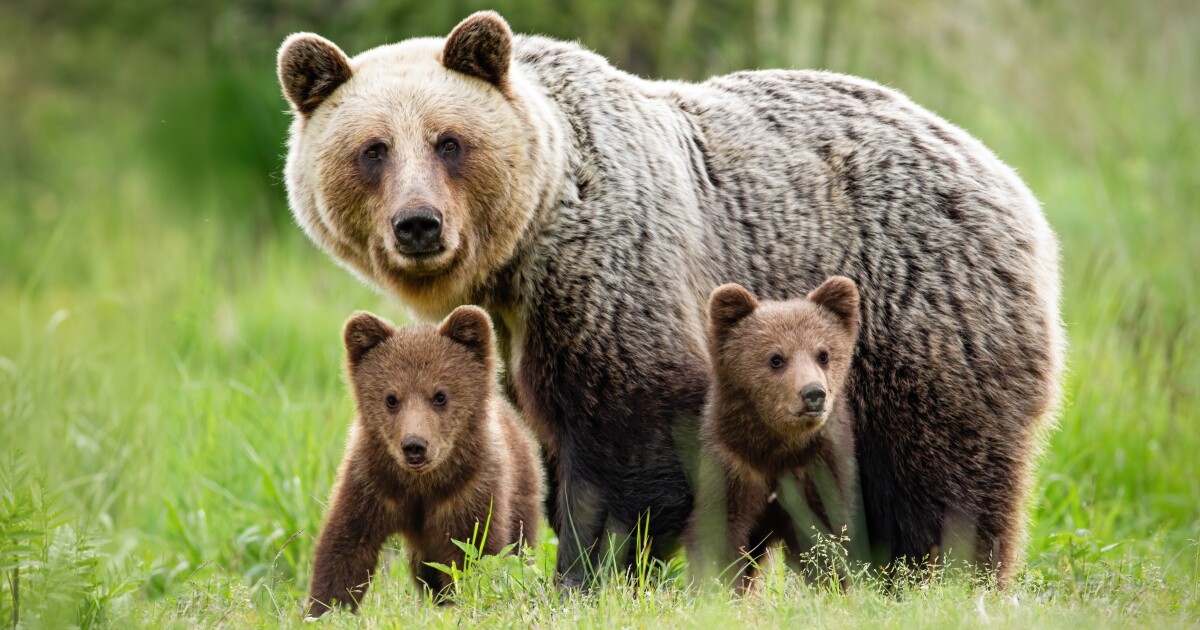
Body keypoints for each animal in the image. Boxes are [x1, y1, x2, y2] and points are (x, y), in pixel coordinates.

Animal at [306, 306, 543, 616]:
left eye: (440, 395)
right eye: (391, 398)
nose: (415, 446)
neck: (421, 484)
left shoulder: (469, 491)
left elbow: (475, 551)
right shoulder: (371, 484)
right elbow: (345, 547)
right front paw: (324, 609)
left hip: (521, 489)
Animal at [688, 277, 860, 594]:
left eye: (823, 354)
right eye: (776, 359)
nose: (813, 393)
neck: (776, 451)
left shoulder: (817, 468)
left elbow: (825, 536)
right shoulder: (734, 466)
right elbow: (719, 532)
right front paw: (717, 587)